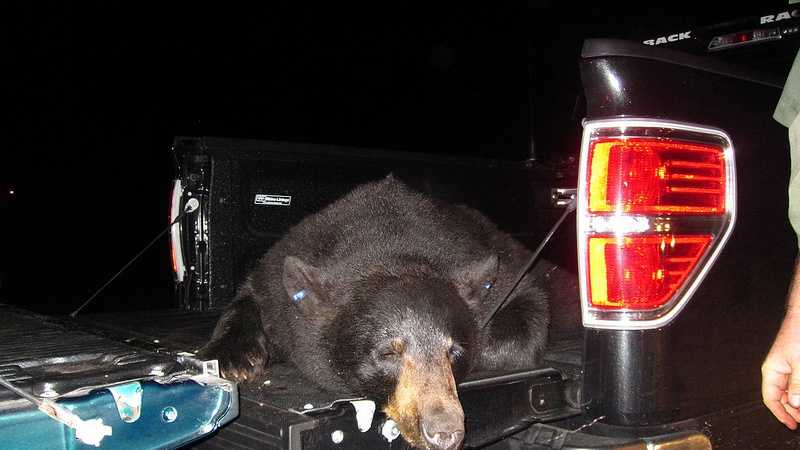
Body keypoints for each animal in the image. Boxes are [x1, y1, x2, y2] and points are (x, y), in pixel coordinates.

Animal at [199, 175, 549, 450]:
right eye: (388, 353)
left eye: (454, 352)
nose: (445, 433)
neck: (391, 248)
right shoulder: (276, 278)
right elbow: (250, 296)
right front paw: (232, 358)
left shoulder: (504, 275)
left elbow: (524, 312)